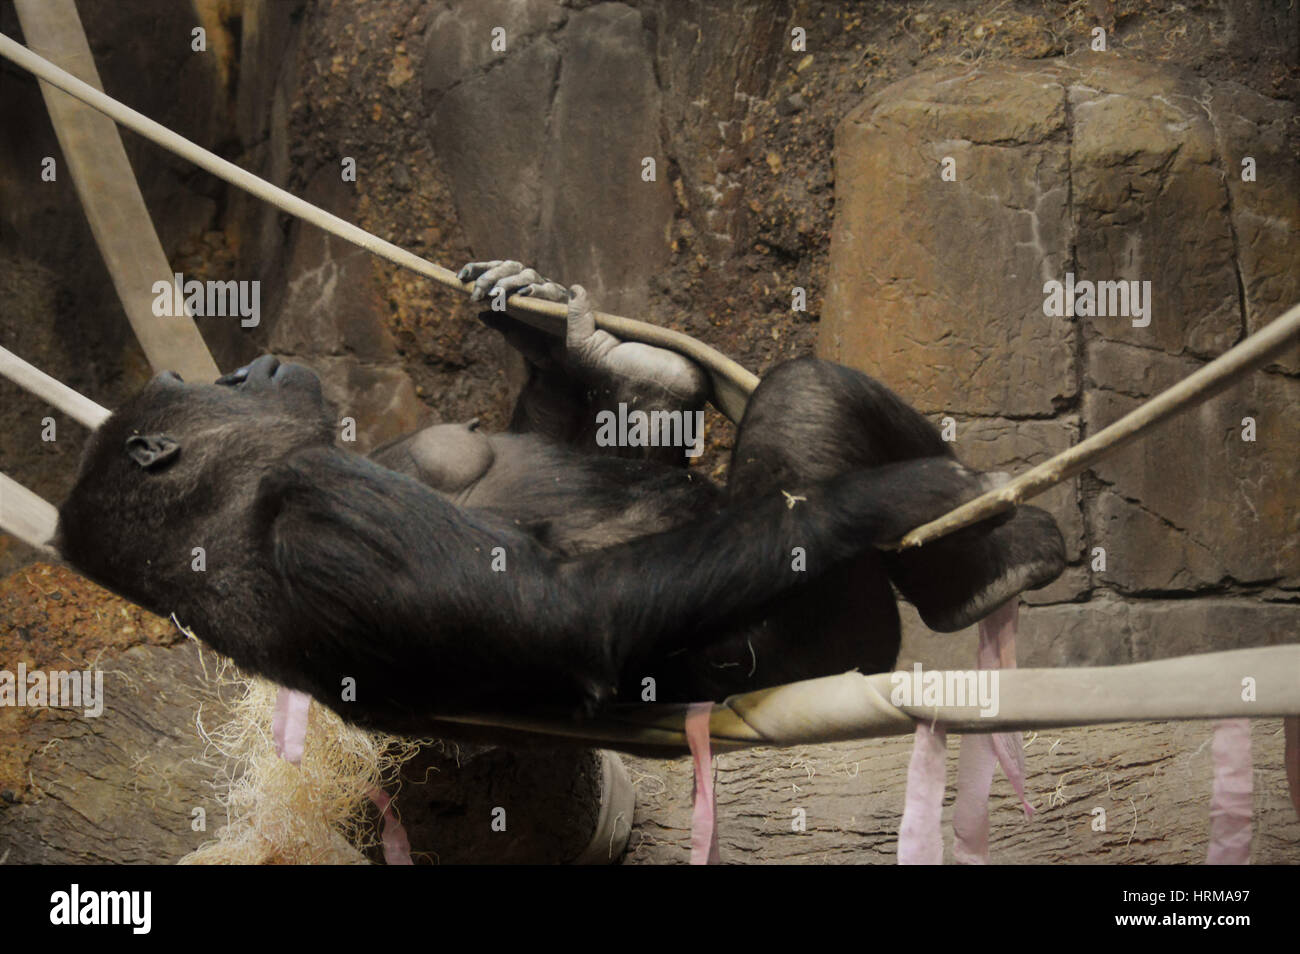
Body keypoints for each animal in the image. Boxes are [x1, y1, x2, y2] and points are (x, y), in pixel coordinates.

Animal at [55, 261, 1064, 736]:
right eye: (218, 380)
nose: (254, 364)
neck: (243, 490)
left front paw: (554, 336)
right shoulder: (325, 511)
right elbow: (574, 617)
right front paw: (902, 494)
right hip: (823, 645)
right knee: (804, 397)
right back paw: (992, 565)